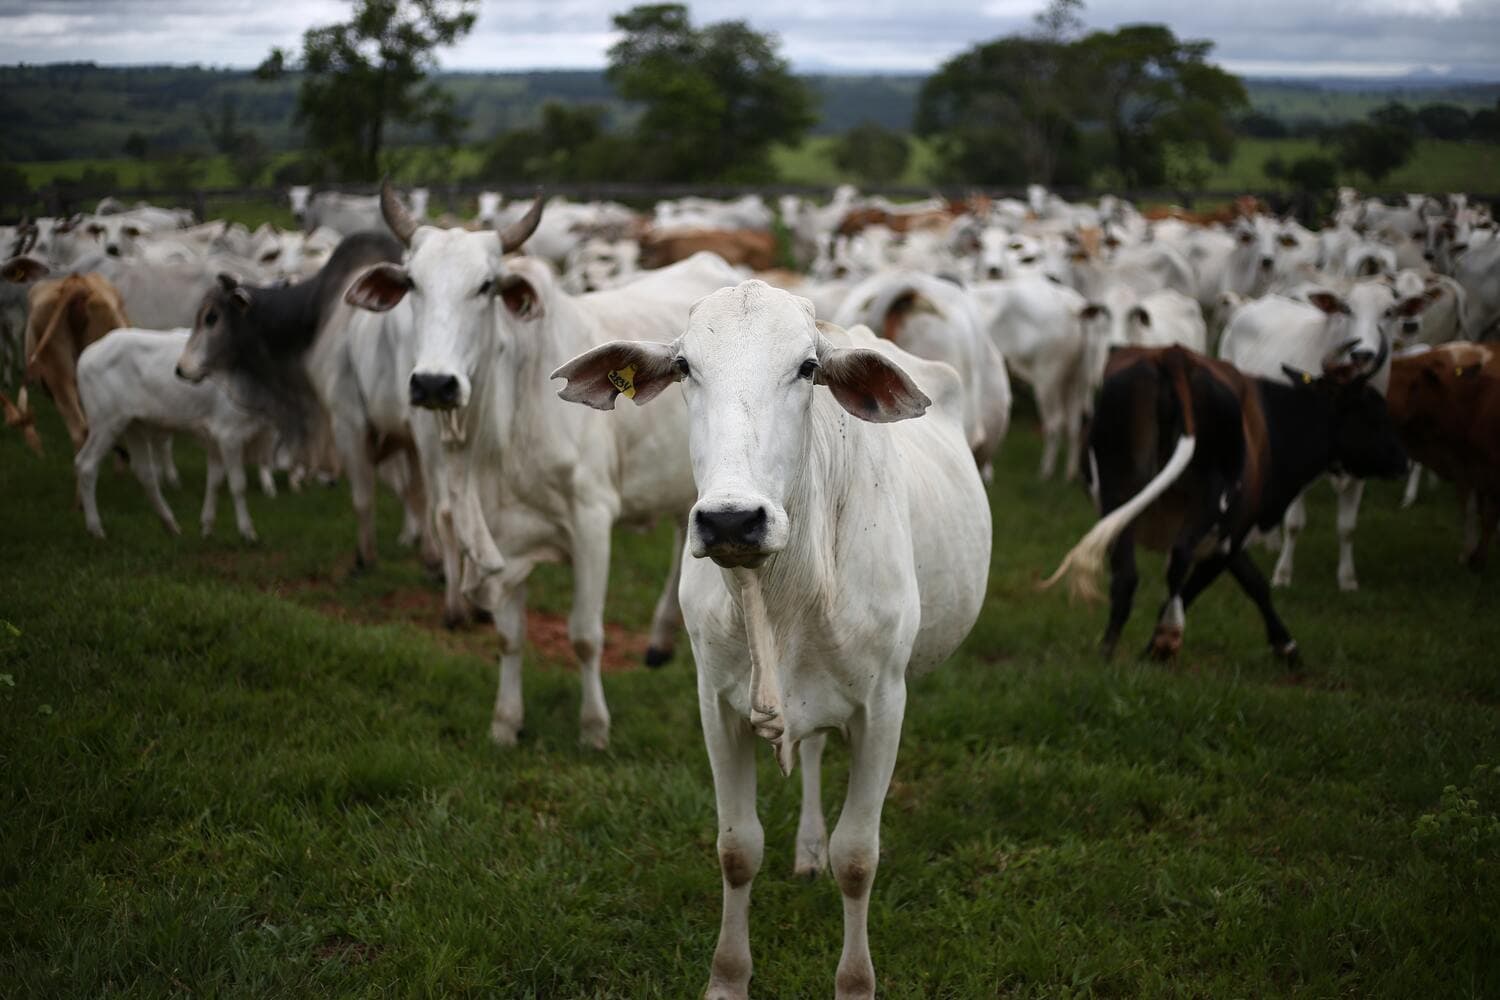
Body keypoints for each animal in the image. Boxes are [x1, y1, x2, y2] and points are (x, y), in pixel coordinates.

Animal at [75, 328, 272, 541]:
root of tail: (88, 353)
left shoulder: (215, 439)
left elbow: (214, 481)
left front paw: (207, 527)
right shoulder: (229, 432)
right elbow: (238, 484)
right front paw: (248, 532)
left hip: (133, 424)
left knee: (144, 472)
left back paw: (170, 524)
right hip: (106, 421)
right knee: (86, 464)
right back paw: (96, 529)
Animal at [342, 182, 739, 748]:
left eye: (486, 286)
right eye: (412, 283)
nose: (435, 384)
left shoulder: (592, 522)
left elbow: (585, 635)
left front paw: (594, 728)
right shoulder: (505, 535)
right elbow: (510, 637)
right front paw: (506, 722)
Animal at [551, 280, 992, 1000]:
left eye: (808, 368)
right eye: (684, 367)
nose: (732, 519)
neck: (780, 592)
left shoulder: (884, 705)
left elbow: (858, 858)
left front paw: (855, 984)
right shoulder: (715, 703)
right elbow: (737, 848)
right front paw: (727, 978)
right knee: (809, 751)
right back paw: (807, 851)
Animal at [1044, 343, 1406, 662]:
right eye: (1375, 413)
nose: (1403, 460)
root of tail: (1174, 356)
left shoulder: (1229, 537)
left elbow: (1254, 582)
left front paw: (1285, 645)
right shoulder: (1232, 533)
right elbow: (1232, 585)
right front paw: (1157, 644)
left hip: (1118, 494)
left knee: (1126, 575)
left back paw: (1107, 650)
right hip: (1209, 496)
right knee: (1178, 558)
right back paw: (1165, 637)